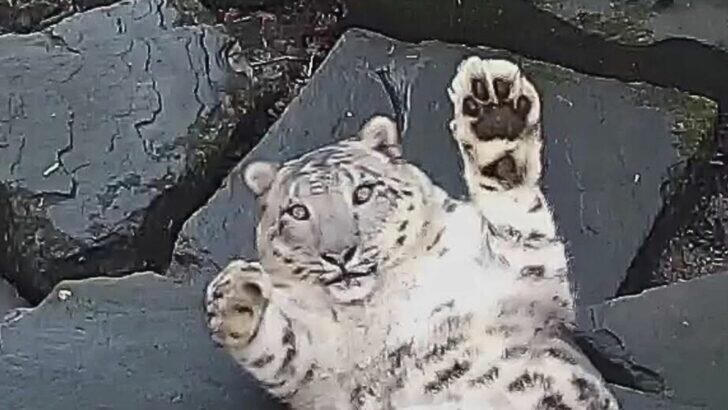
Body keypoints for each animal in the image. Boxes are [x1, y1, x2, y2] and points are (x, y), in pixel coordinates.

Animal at [204, 56, 620, 410]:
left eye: (363, 192)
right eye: (297, 211)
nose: (339, 254)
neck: (377, 309)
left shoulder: (527, 287)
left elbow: (519, 220)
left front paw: (494, 113)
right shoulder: (315, 364)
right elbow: (279, 346)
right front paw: (235, 290)